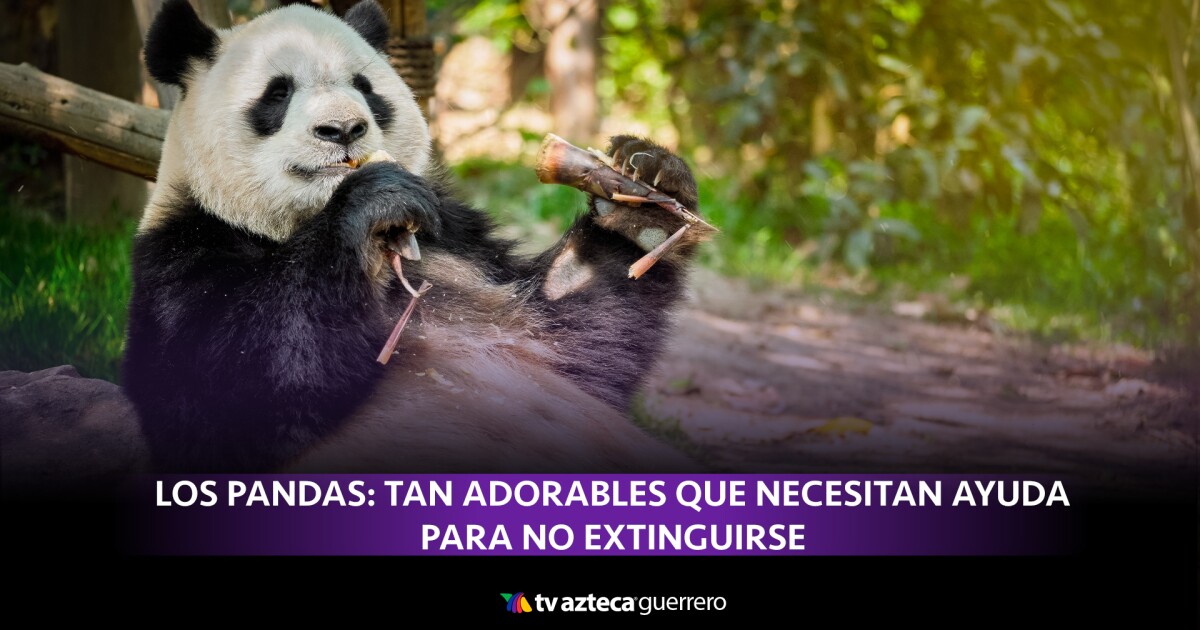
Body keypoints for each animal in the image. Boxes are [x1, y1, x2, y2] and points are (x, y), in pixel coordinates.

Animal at [124, 0, 709, 473]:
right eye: (278, 93)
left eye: (365, 88)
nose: (343, 130)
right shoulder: (185, 253)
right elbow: (227, 401)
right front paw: (374, 198)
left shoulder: (457, 244)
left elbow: (578, 342)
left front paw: (645, 192)